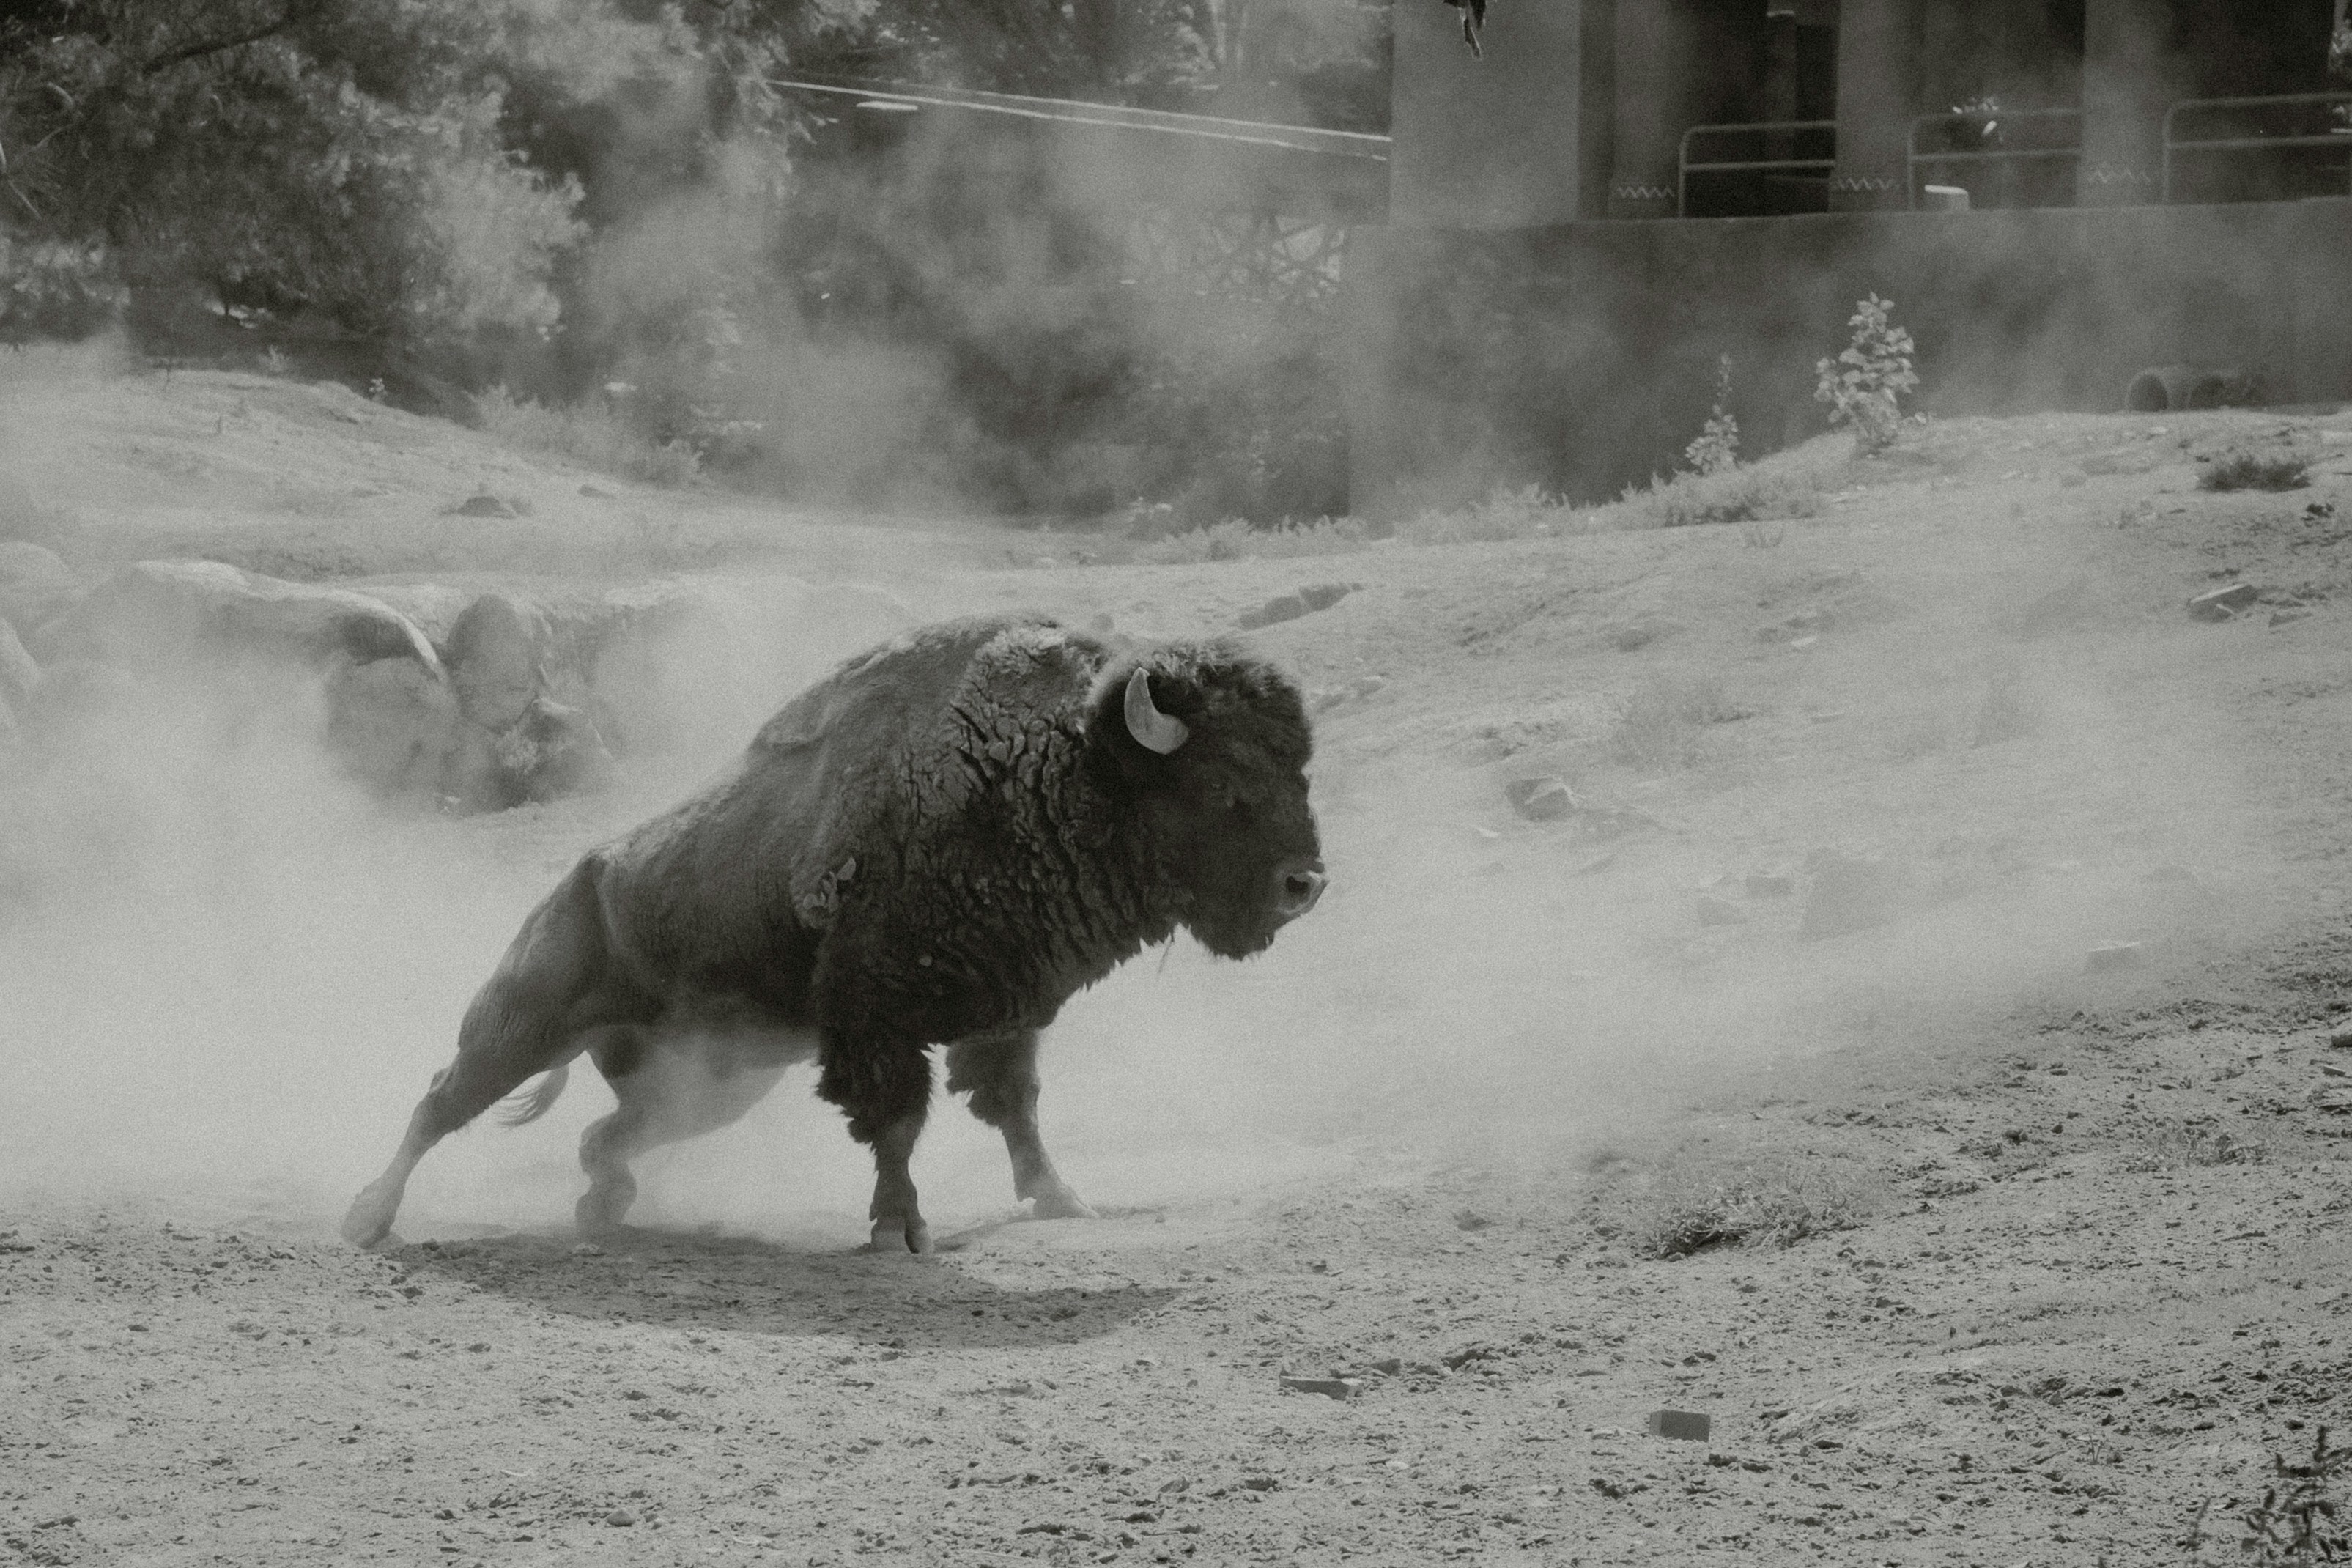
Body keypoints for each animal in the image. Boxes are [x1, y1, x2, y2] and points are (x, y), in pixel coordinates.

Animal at [342, 615, 1326, 1253]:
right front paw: (899, 1227)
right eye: (1225, 785)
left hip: (712, 1083)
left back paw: (602, 1208)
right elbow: (897, 1119)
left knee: (603, 1134)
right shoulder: (876, 1017)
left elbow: (1015, 1107)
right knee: (439, 1101)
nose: (1306, 883)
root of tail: (579, 877)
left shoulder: (1007, 1012)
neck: (1053, 762)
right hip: (522, 1022)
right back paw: (368, 1218)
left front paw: (1062, 1199)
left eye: (1300, 770)